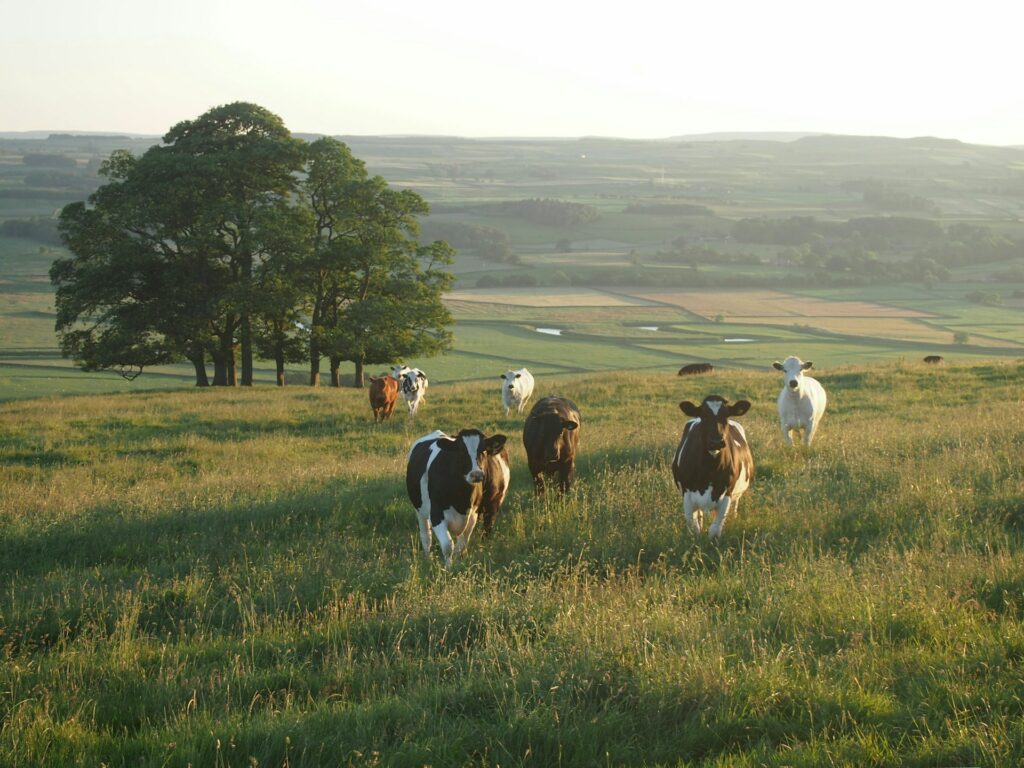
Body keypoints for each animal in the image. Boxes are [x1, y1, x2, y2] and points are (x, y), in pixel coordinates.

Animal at [406, 429, 510, 566]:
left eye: (483, 450)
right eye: (461, 451)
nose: (476, 474)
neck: (462, 498)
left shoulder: (473, 515)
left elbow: (462, 545)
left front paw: (459, 564)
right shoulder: (436, 514)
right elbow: (448, 545)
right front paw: (448, 567)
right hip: (419, 509)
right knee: (426, 536)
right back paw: (427, 559)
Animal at [671, 395, 754, 539]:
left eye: (726, 416)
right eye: (703, 416)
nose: (716, 441)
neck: (709, 470)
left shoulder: (727, 495)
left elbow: (714, 531)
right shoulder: (687, 495)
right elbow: (694, 529)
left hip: (736, 495)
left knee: (735, 507)